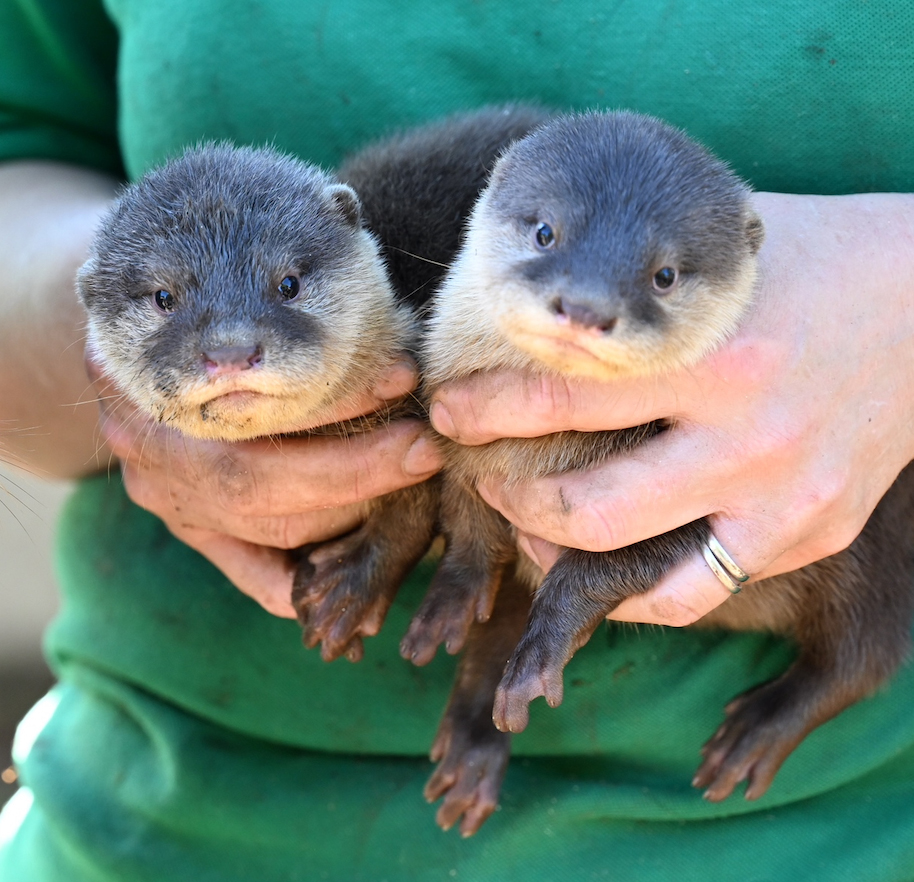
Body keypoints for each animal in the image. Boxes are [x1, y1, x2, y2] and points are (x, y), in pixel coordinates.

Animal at [406, 111, 914, 834]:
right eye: (546, 231)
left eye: (664, 274)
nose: (586, 307)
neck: (533, 452)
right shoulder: (458, 442)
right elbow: (469, 525)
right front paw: (454, 592)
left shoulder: (688, 504)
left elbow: (600, 569)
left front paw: (544, 649)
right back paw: (475, 741)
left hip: (877, 544)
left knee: (865, 654)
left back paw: (758, 730)